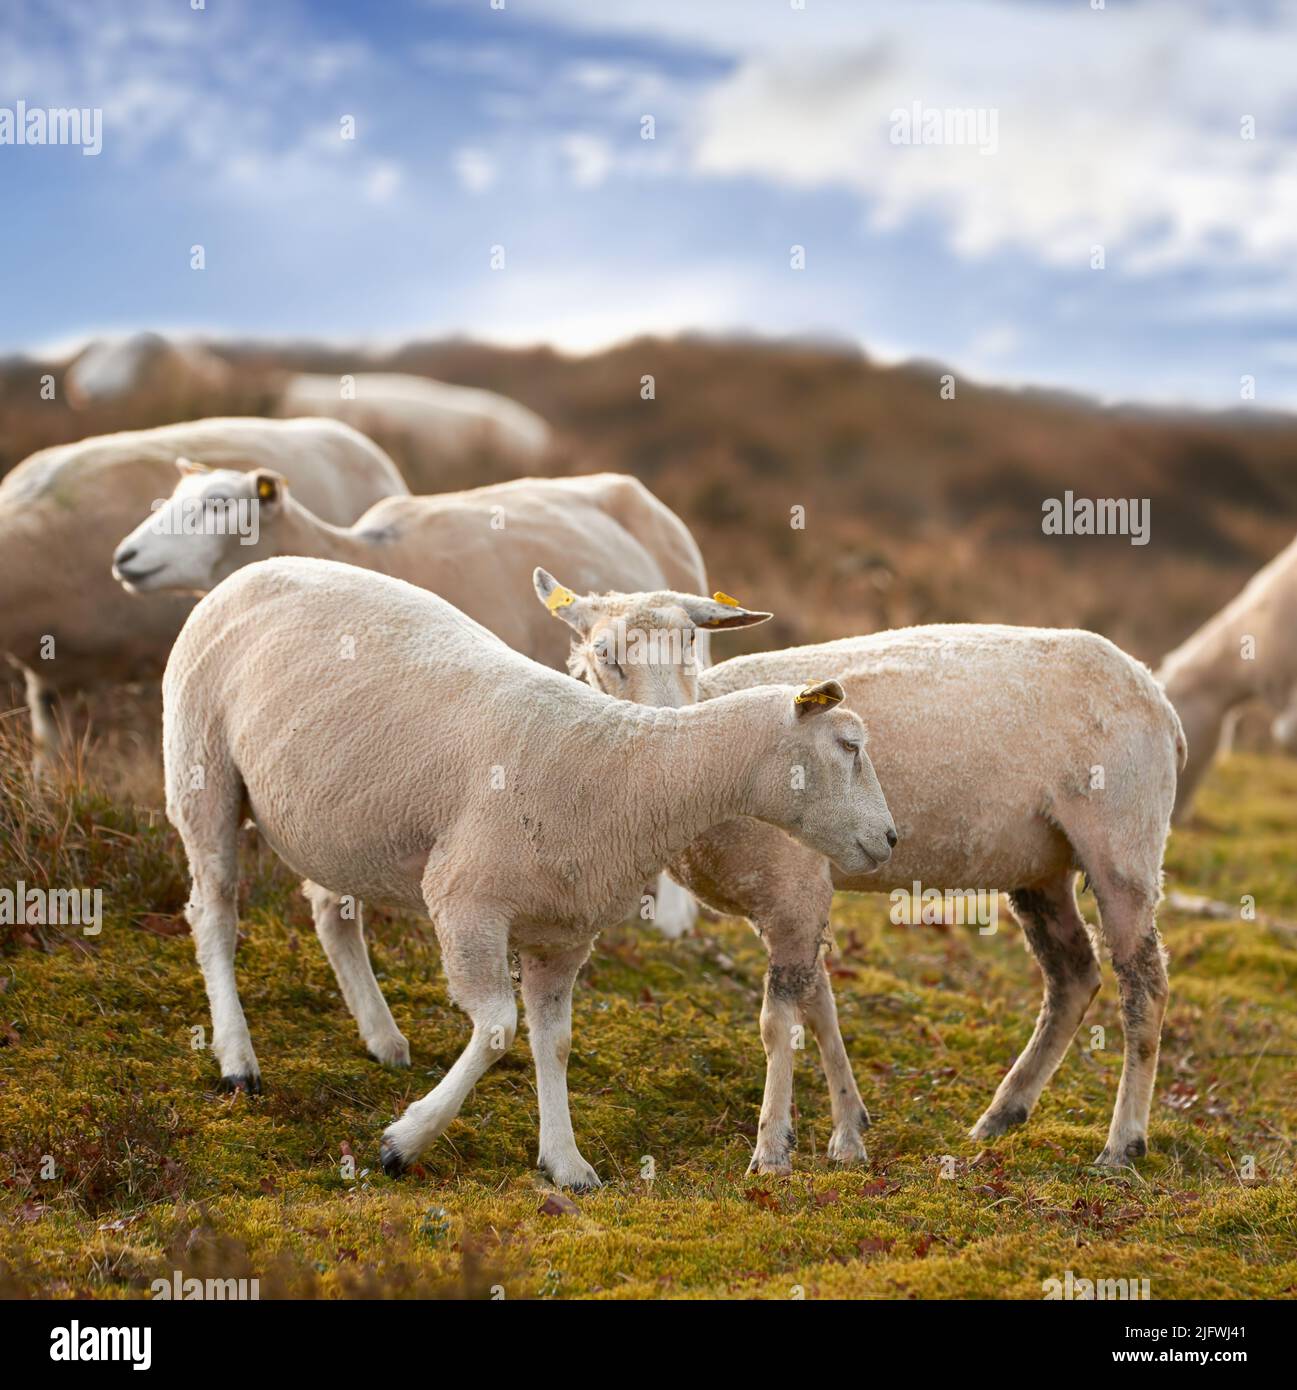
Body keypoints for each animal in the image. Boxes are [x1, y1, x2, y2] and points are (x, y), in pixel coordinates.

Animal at [161, 556, 896, 1187]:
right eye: (849, 745)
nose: (890, 838)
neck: (628, 772)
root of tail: (253, 568)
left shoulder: (563, 933)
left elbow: (554, 1042)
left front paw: (565, 1162)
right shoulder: (465, 902)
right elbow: (496, 1030)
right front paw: (403, 1142)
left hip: (336, 819)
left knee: (329, 912)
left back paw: (382, 1037)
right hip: (203, 770)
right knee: (214, 914)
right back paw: (237, 1059)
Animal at [538, 576, 1186, 1171]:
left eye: (692, 641)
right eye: (604, 654)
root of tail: (1155, 694)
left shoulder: (793, 888)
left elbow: (779, 1023)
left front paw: (772, 1150)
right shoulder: (795, 896)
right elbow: (819, 1008)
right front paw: (848, 1133)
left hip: (1122, 841)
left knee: (1144, 987)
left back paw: (1122, 1145)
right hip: (1042, 865)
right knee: (1073, 976)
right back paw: (1002, 1114)